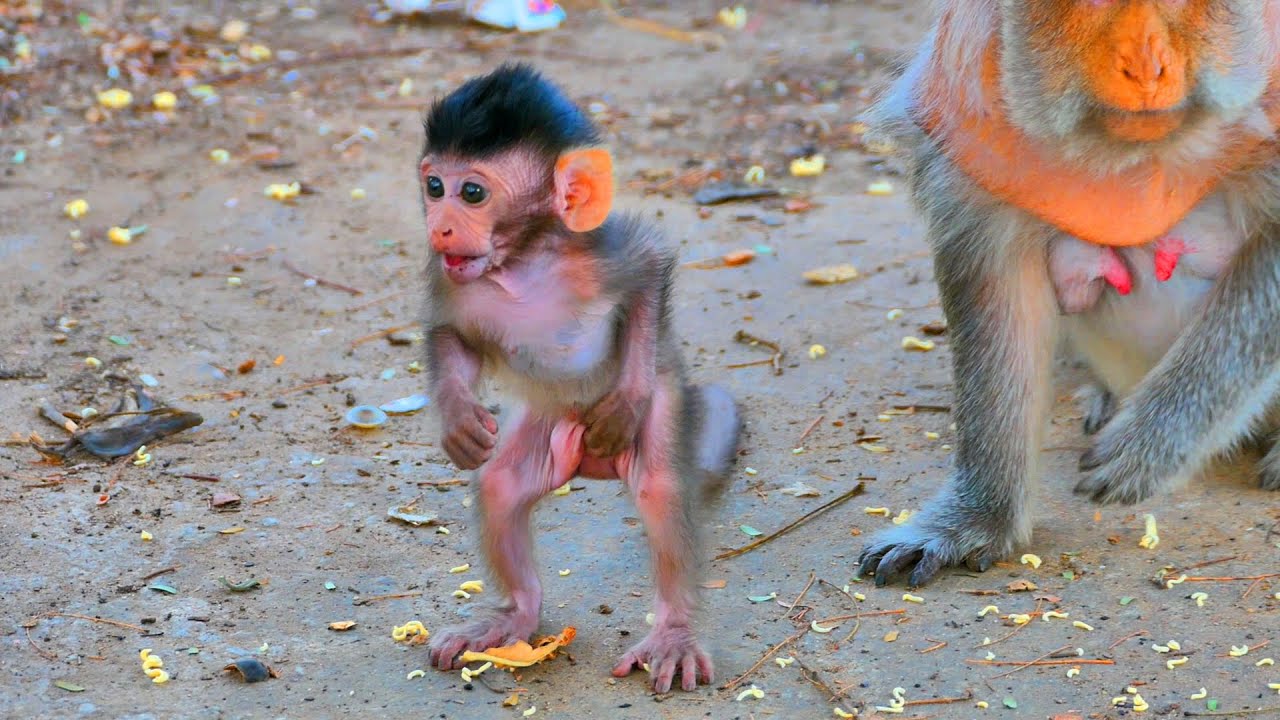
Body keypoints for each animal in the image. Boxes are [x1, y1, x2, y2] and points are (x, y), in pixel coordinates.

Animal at [415, 63, 741, 692]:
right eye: (434, 186)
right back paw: (513, 617)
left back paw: (673, 633)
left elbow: (650, 271)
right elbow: (451, 338)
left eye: (472, 193)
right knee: (501, 486)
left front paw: (625, 402)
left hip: (664, 403)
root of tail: (590, 466)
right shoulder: (453, 281)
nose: (439, 228)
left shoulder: (603, 256)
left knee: (661, 488)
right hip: (545, 425)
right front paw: (458, 419)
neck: (522, 264)